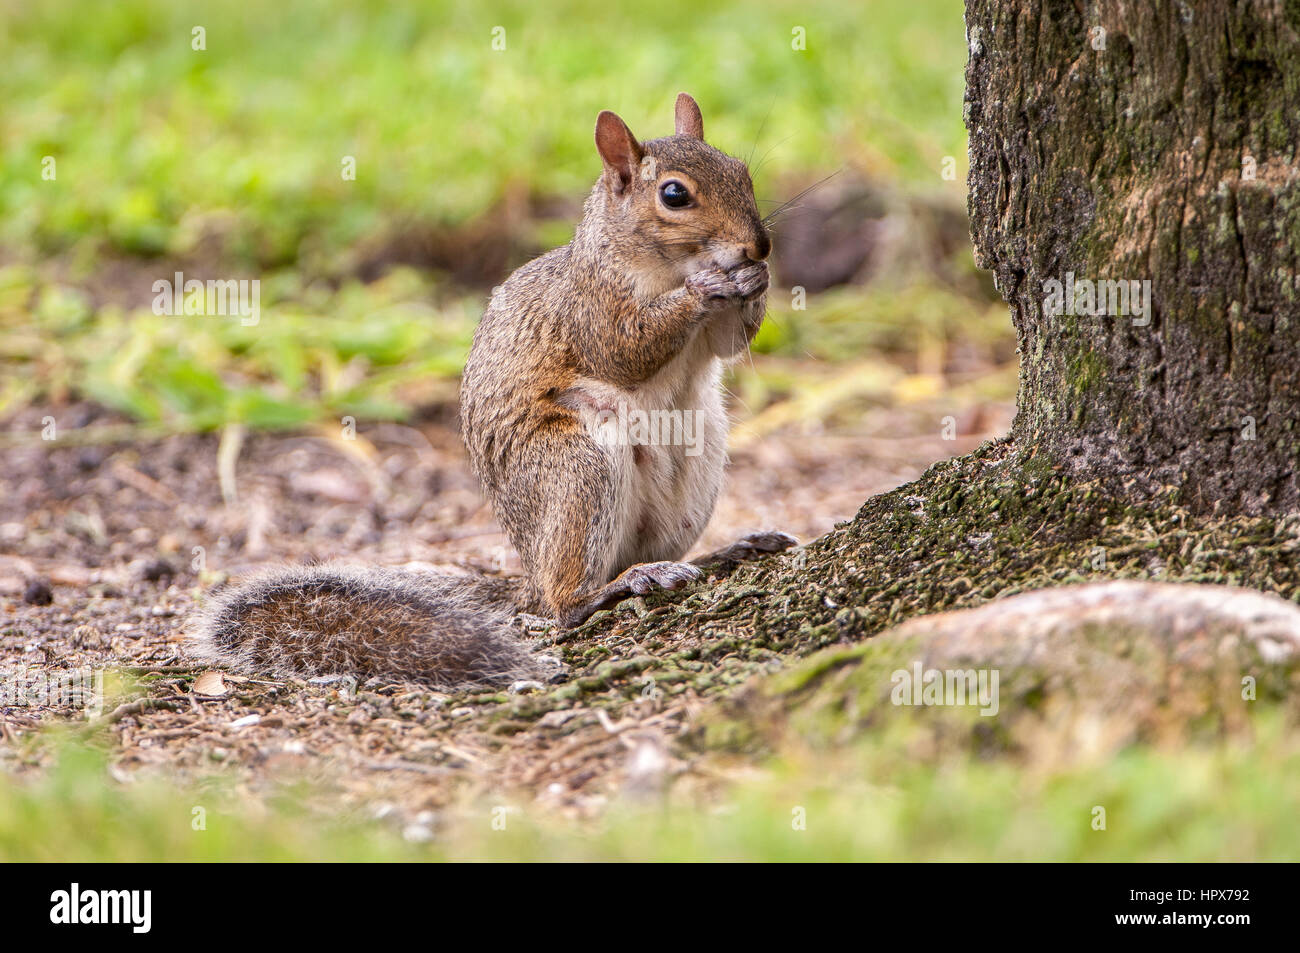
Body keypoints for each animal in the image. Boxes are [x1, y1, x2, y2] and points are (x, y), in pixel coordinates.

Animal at [190, 93, 796, 688]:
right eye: (674, 195)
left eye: (741, 172)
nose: (759, 246)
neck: (662, 265)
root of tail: (526, 572)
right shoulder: (590, 309)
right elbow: (625, 349)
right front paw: (706, 286)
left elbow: (726, 344)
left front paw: (755, 283)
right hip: (575, 466)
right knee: (561, 602)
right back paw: (621, 583)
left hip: (698, 470)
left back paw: (723, 553)